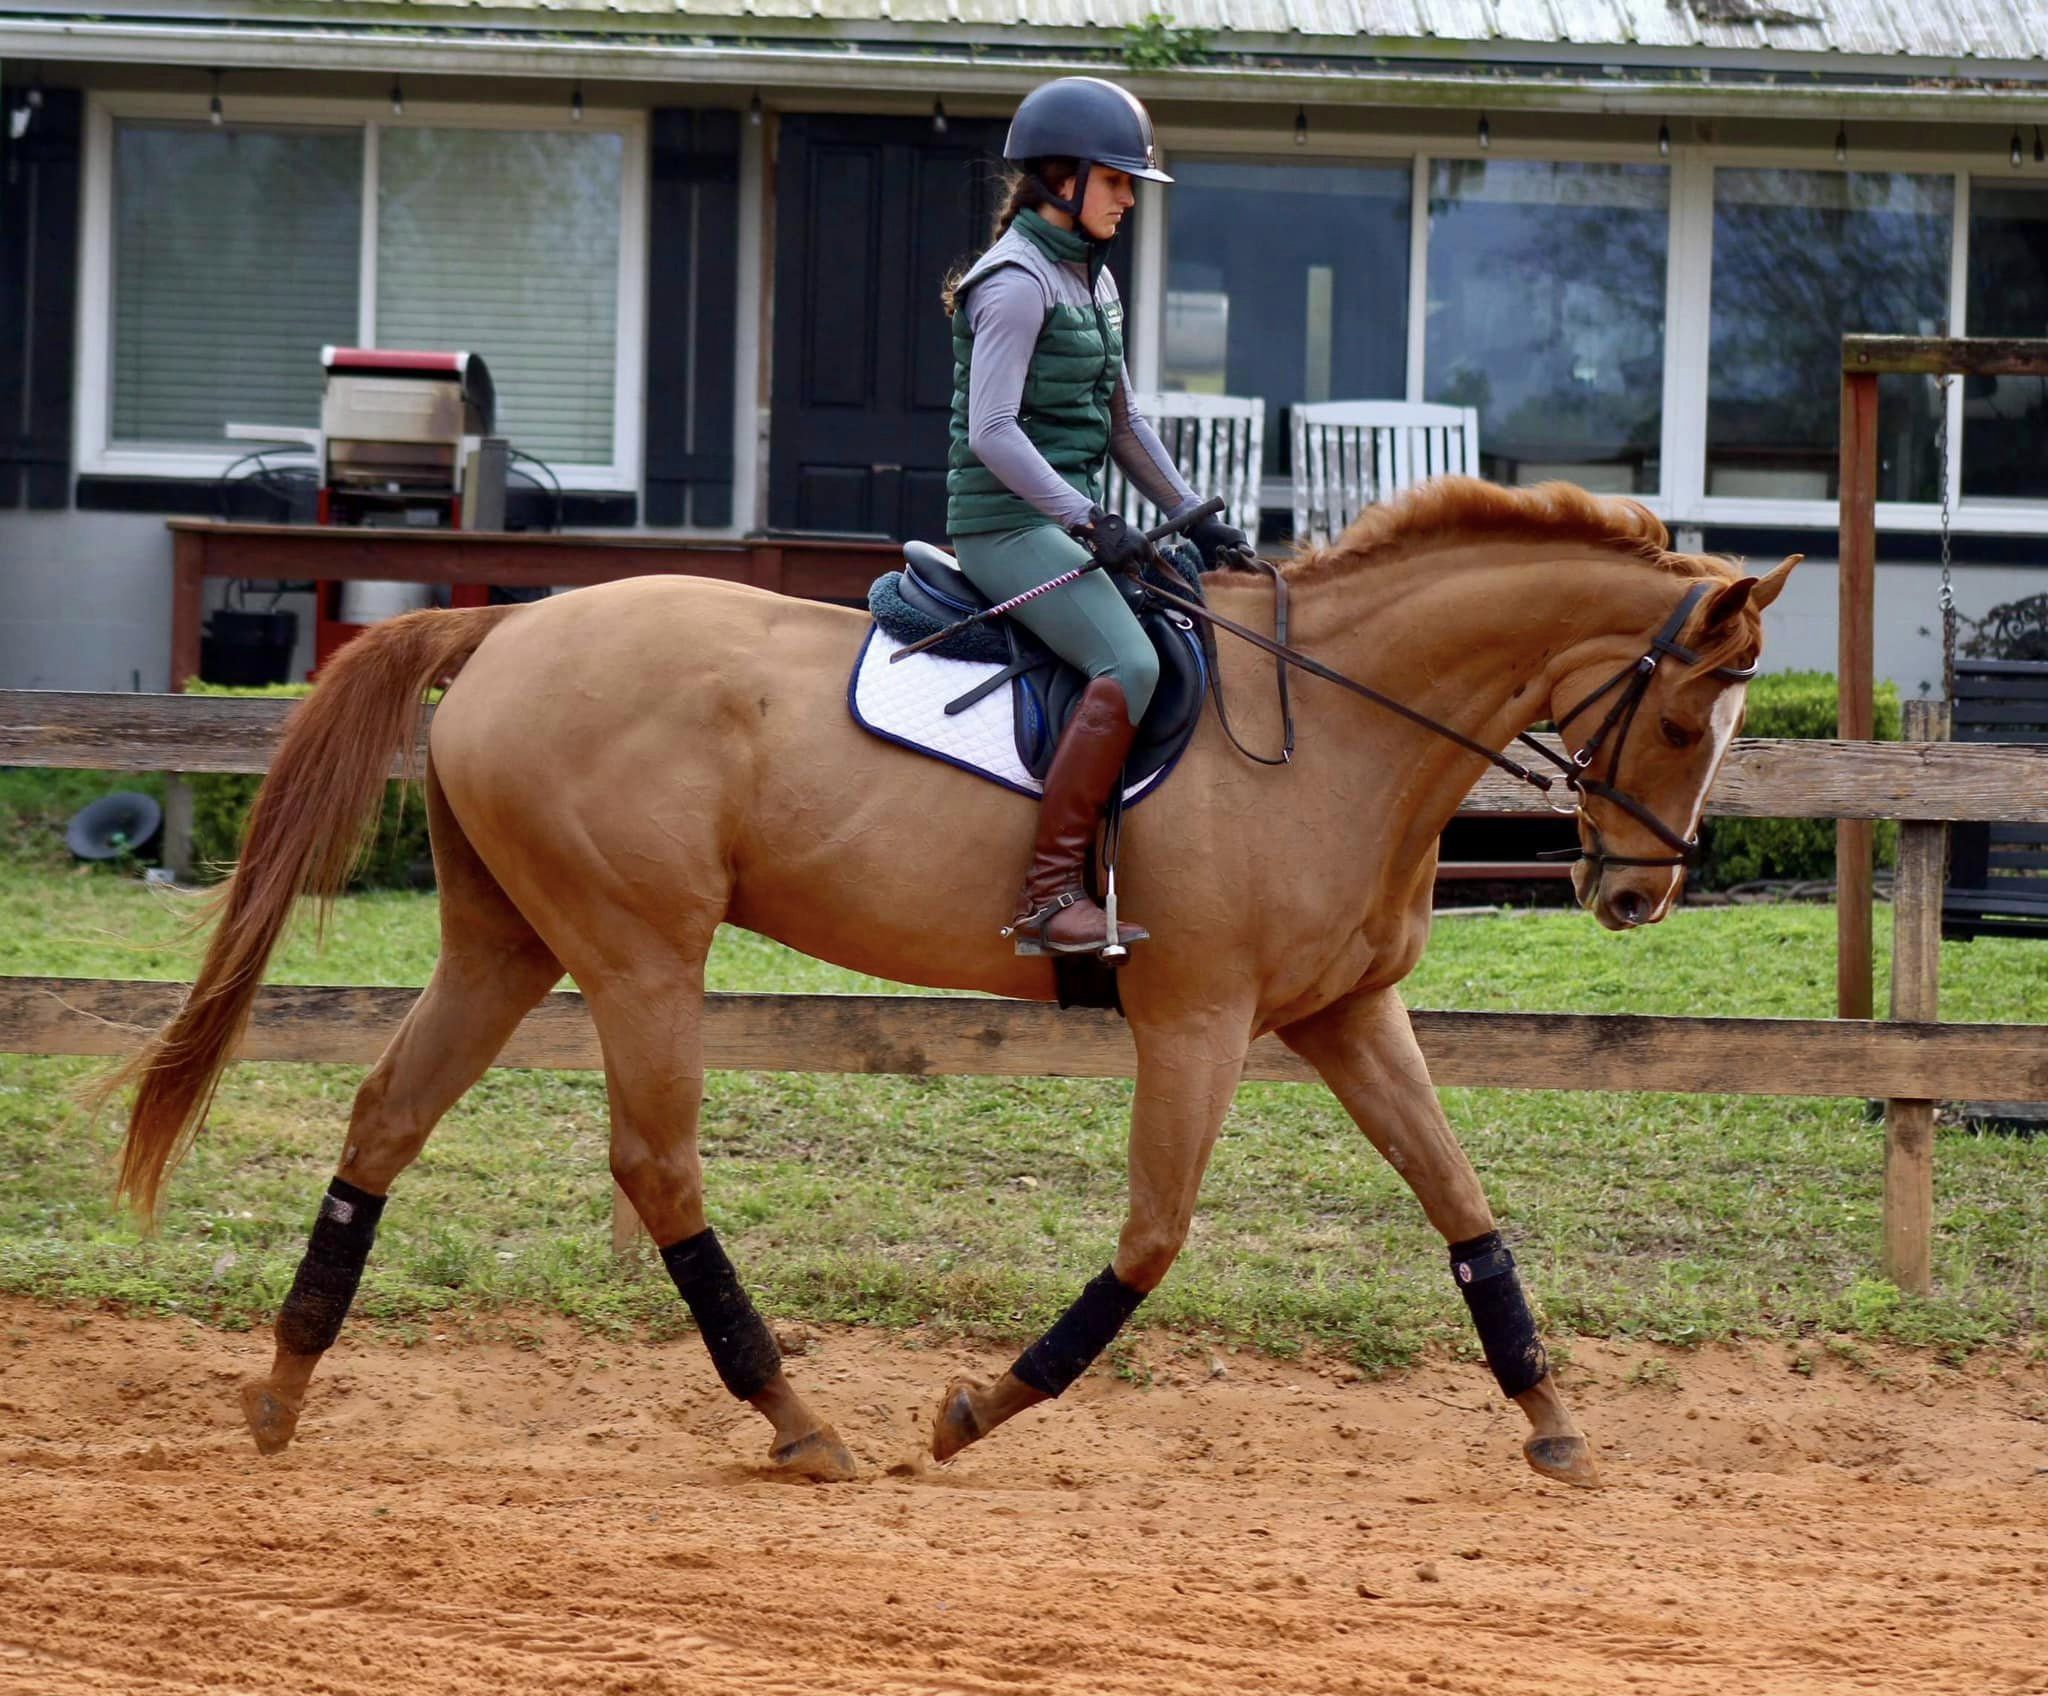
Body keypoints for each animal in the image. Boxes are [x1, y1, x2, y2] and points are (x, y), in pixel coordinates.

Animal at [112, 477, 1794, 1489]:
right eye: (1684, 716)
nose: (1637, 893)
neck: (1333, 729)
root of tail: (508, 627)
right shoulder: (1200, 1021)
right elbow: (1153, 1240)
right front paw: (980, 1406)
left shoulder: (1345, 1016)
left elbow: (1463, 1204)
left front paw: (1555, 1423)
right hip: (639, 949)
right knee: (656, 1165)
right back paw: (797, 1419)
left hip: (508, 942)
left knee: (388, 1116)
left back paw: (283, 1386)